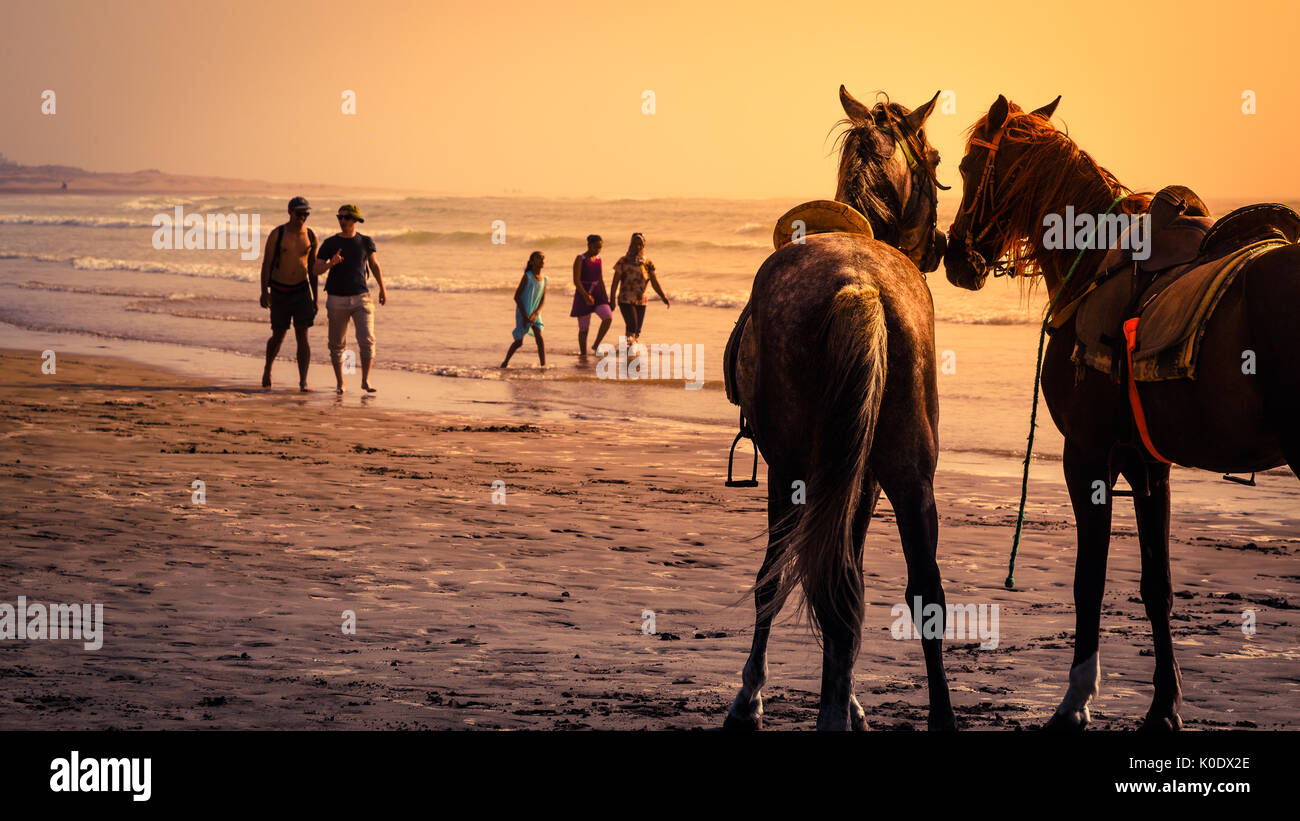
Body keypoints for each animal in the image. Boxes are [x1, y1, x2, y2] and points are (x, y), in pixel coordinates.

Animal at [724, 86, 957, 731]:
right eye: (934, 156)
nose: (940, 246)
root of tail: (859, 282)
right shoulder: (866, 479)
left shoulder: (820, 476)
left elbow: (783, 576)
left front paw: (760, 698)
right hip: (907, 475)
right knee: (919, 592)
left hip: (802, 471)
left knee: (804, 580)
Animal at [943, 94, 1300, 731]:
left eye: (965, 166)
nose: (956, 256)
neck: (1092, 265)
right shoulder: (1147, 463)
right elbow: (1157, 586)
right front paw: (1163, 706)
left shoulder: (1087, 456)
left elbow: (1089, 581)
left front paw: (1076, 700)